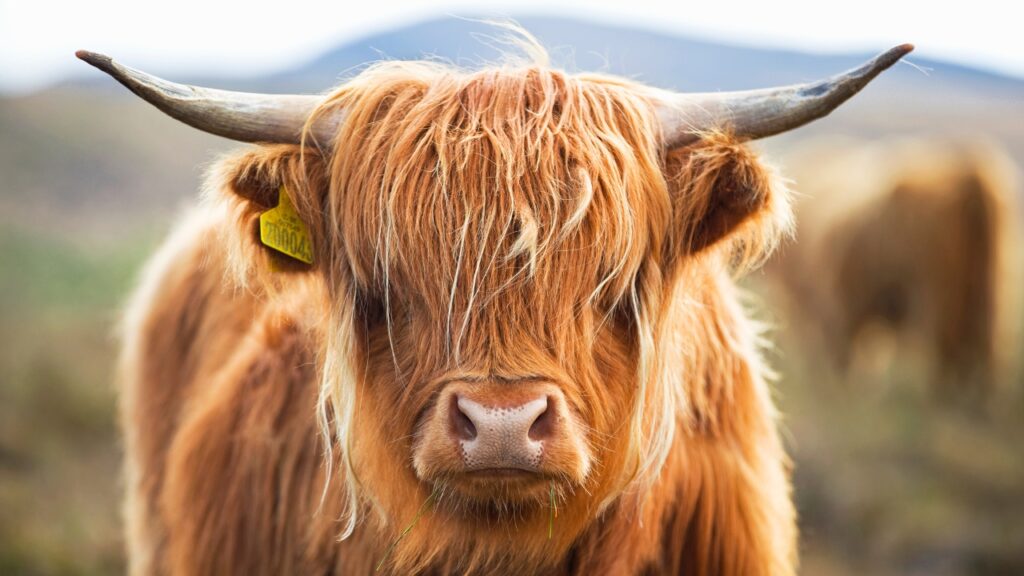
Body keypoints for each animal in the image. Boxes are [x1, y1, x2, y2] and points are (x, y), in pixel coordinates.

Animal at [771, 137, 1020, 401]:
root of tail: (971, 176)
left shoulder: (839, 302)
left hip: (937, 292)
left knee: (947, 346)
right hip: (989, 286)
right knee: (986, 346)